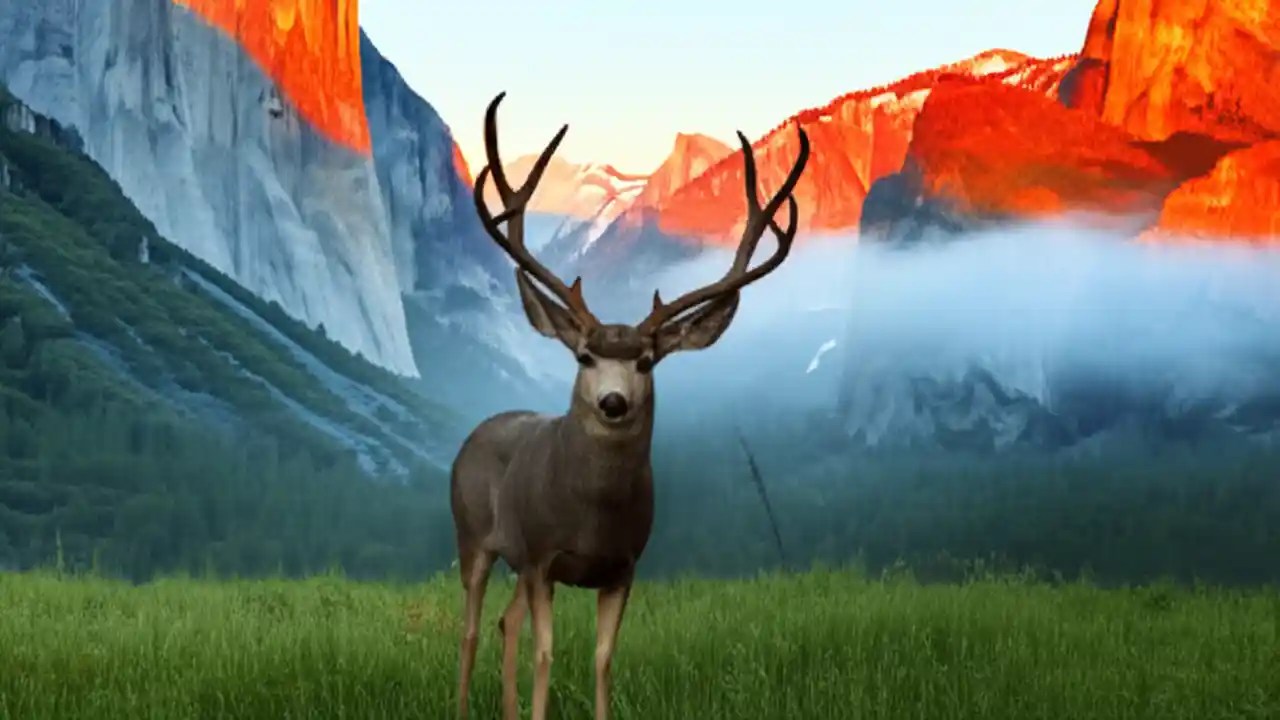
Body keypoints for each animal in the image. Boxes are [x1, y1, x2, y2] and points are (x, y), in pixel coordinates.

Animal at [451, 91, 810, 720]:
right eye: (585, 355)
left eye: (646, 361)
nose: (614, 402)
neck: (592, 515)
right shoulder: (543, 557)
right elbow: (547, 655)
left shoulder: (623, 567)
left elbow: (602, 661)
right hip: (472, 535)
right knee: (471, 629)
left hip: (515, 561)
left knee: (504, 622)